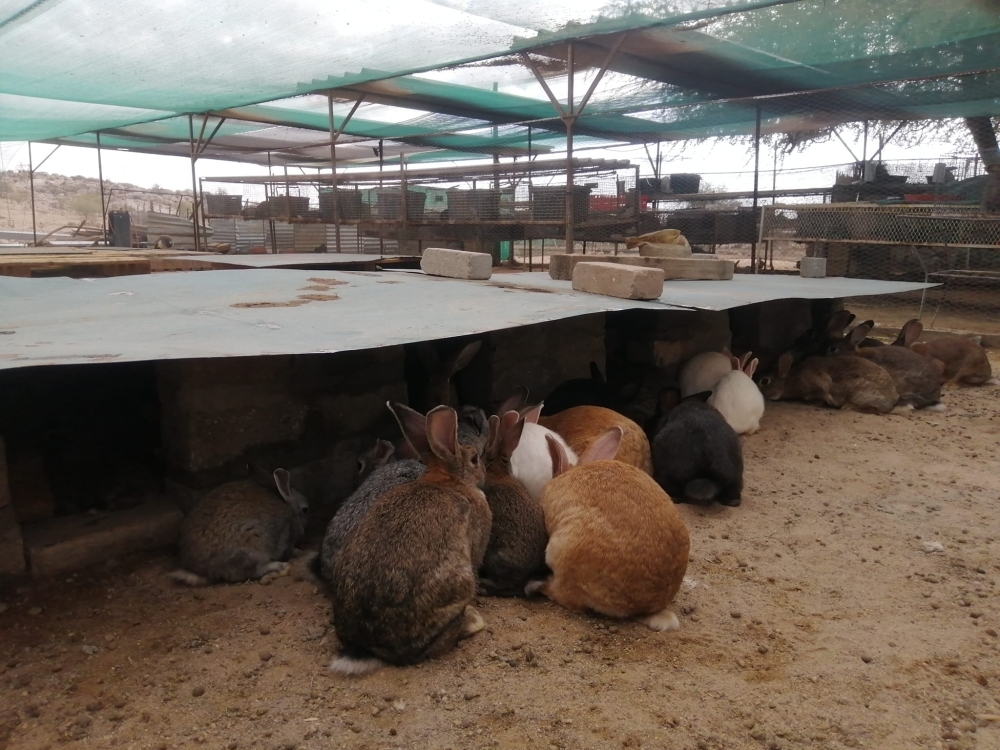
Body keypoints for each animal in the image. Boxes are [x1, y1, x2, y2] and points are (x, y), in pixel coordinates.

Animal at [169, 469, 308, 586]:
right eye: (305, 509)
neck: (290, 507)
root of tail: (206, 571)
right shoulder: (287, 534)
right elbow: (289, 548)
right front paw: (298, 552)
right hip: (254, 545)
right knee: (254, 571)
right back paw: (279, 566)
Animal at [329, 402, 492, 675]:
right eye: (474, 459)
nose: (485, 472)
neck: (449, 480)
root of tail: (371, 646)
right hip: (460, 582)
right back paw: (472, 621)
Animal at [758, 352, 899, 414]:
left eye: (764, 381)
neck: (789, 380)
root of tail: (892, 399)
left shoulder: (818, 387)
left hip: (859, 393)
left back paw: (848, 407)